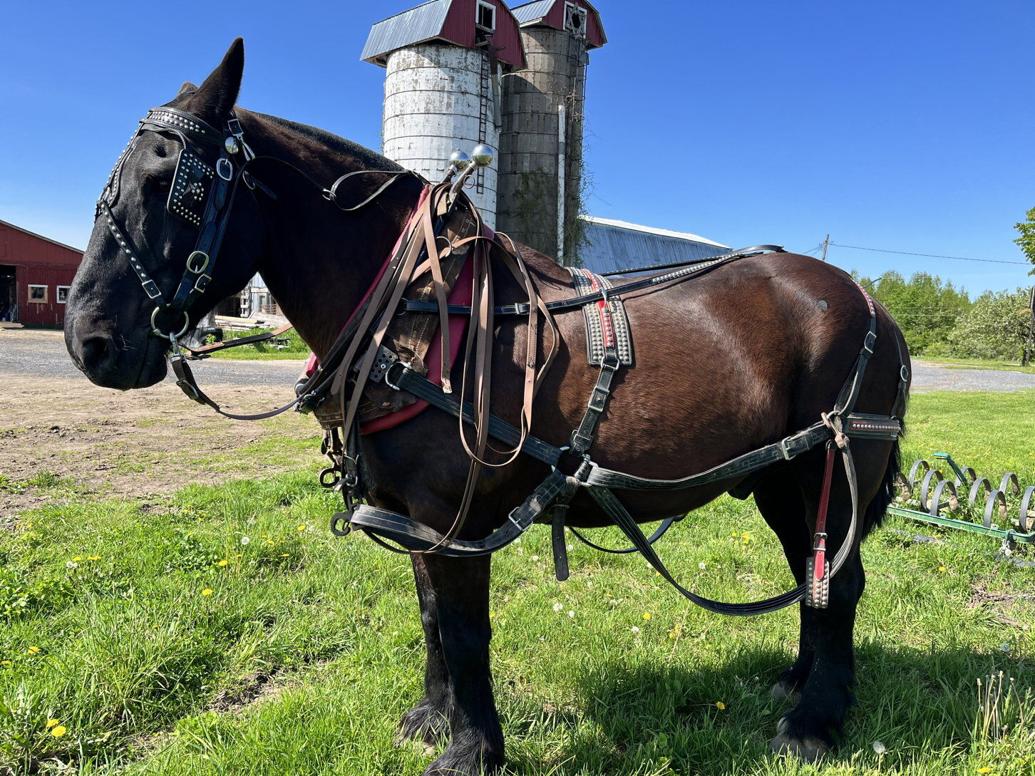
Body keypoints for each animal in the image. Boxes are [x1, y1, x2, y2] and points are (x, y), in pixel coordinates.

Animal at [64, 39, 910, 775]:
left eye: (173, 184)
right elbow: (430, 617)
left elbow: (467, 631)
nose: (88, 339)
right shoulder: (407, 512)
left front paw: (472, 751)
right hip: (779, 481)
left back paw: (812, 724)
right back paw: (799, 684)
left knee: (839, 583)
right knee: (814, 575)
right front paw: (430, 719)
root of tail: (868, 301)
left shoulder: (452, 517)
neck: (418, 314)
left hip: (828, 468)